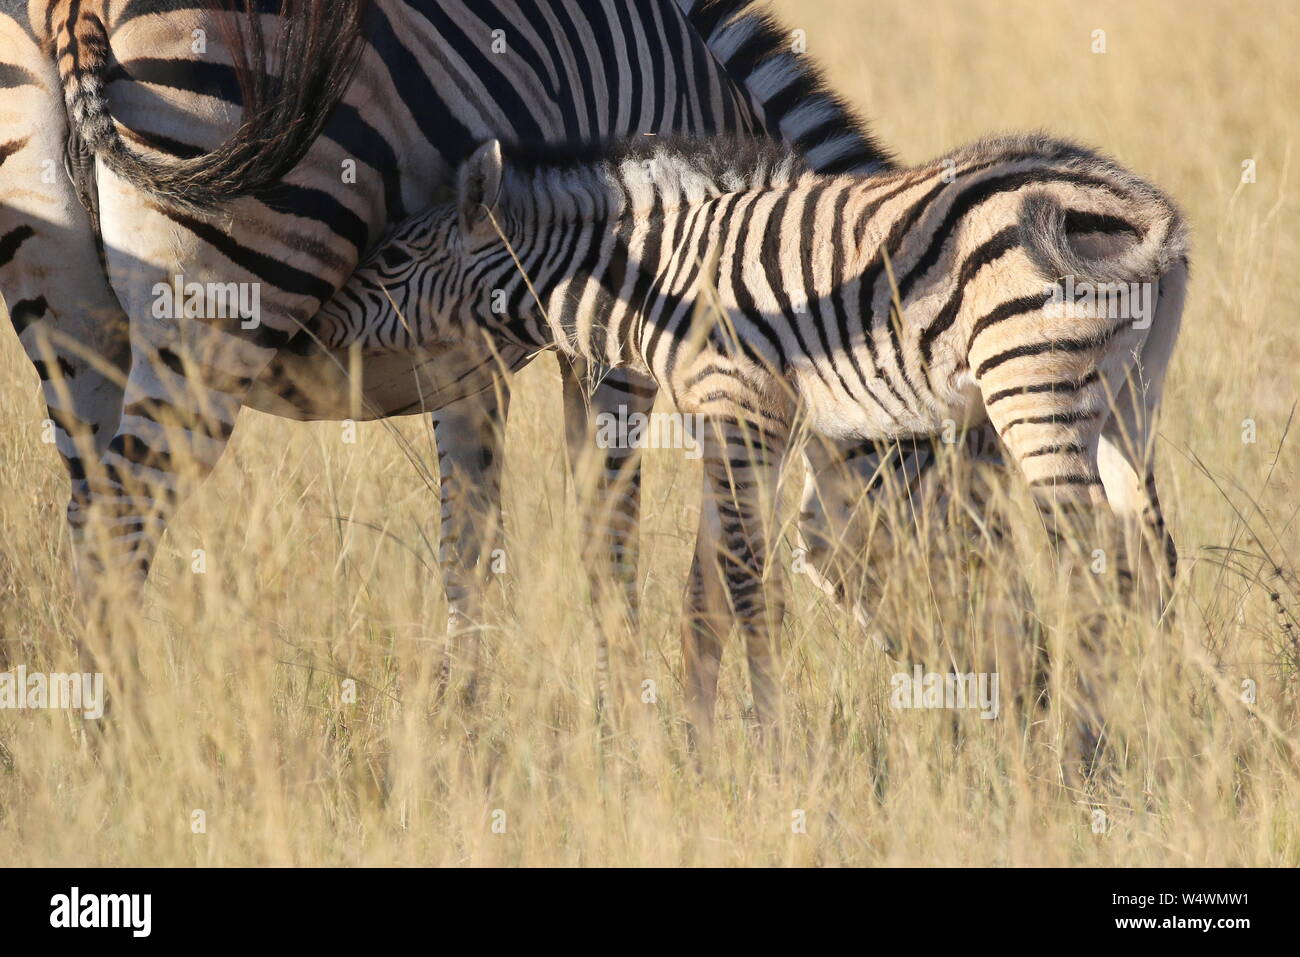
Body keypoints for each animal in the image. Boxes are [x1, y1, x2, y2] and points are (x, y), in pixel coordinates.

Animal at [317, 132, 1189, 741]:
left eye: (393, 257)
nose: (312, 327)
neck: (652, 278)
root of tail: (1140, 207)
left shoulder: (737, 405)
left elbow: (746, 583)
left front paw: (770, 741)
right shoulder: (749, 423)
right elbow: (711, 589)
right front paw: (706, 750)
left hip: (1028, 382)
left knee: (1084, 556)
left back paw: (1080, 741)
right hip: (1129, 399)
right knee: (1148, 555)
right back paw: (1151, 726)